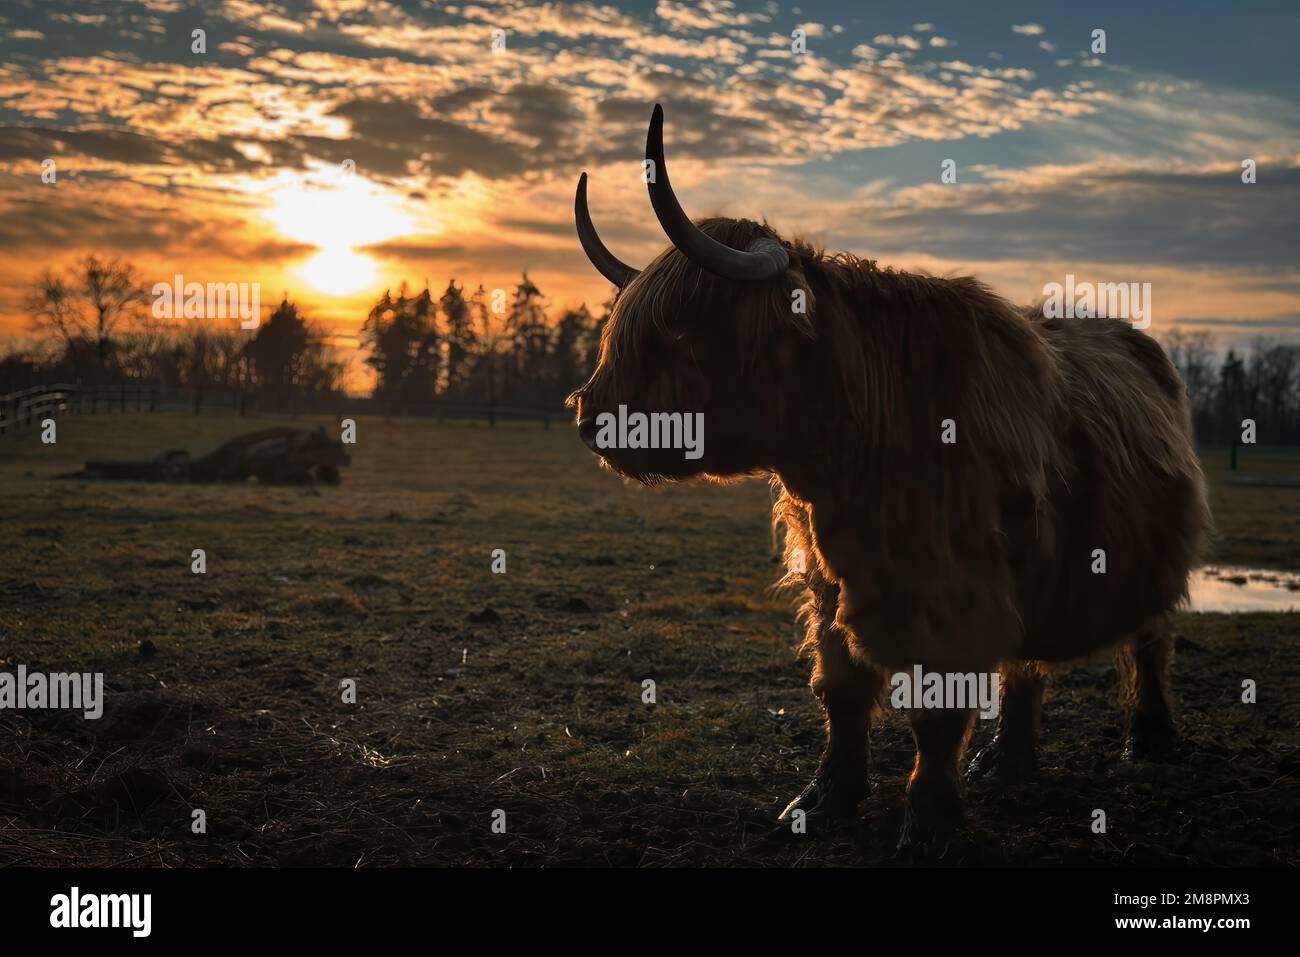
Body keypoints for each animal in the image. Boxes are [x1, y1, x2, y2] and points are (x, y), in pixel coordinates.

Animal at [567, 104, 1212, 852]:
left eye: (680, 333)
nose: (588, 413)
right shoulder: (829, 584)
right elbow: (841, 692)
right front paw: (822, 799)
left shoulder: (955, 594)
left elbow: (937, 712)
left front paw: (928, 820)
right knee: (1027, 664)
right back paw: (1006, 761)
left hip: (1149, 557)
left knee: (1150, 639)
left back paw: (1150, 739)